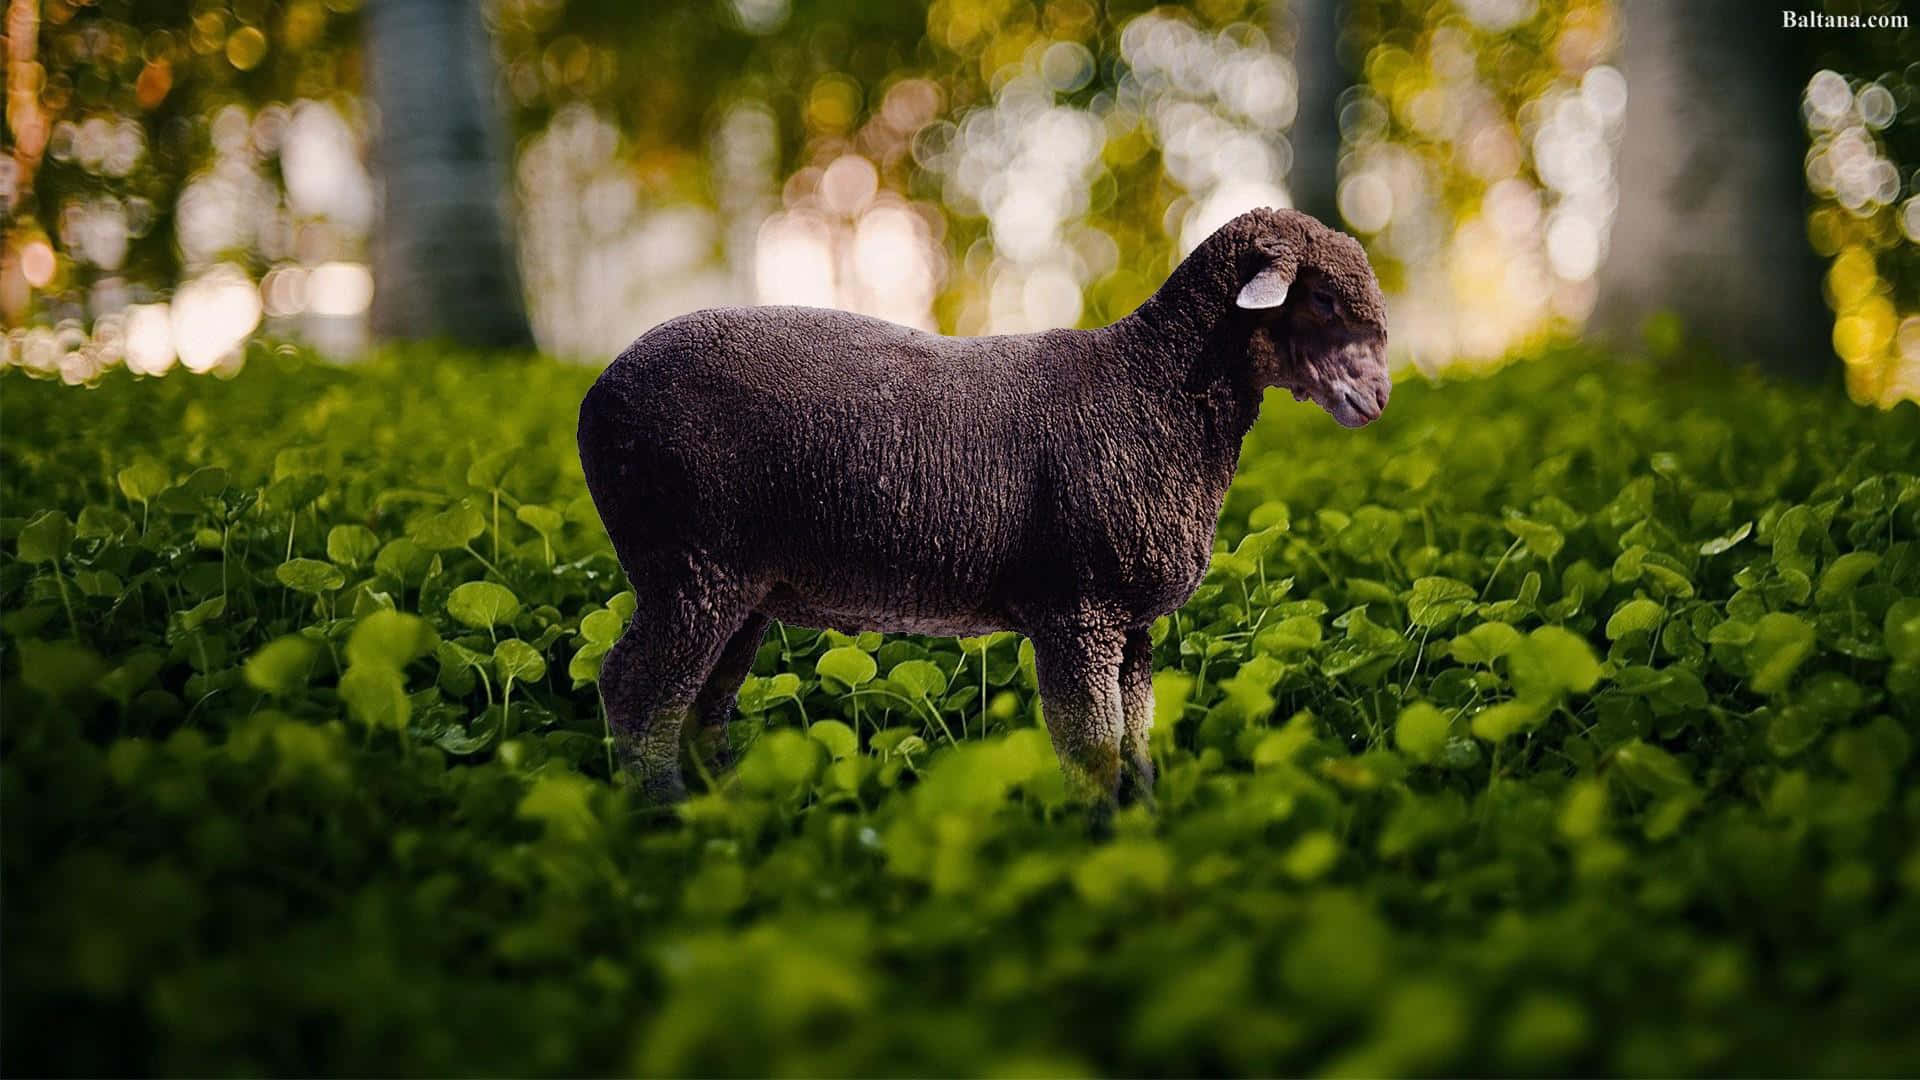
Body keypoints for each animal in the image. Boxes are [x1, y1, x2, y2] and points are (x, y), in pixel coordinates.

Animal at [577, 207, 1389, 812]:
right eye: (1321, 297)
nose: (1378, 400)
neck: (1152, 389)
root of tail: (596, 395)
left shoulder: (1131, 626)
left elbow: (1137, 741)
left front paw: (1144, 826)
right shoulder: (1077, 611)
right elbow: (1092, 749)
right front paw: (1101, 838)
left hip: (734, 588)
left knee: (700, 707)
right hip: (689, 565)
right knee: (636, 689)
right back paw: (667, 818)